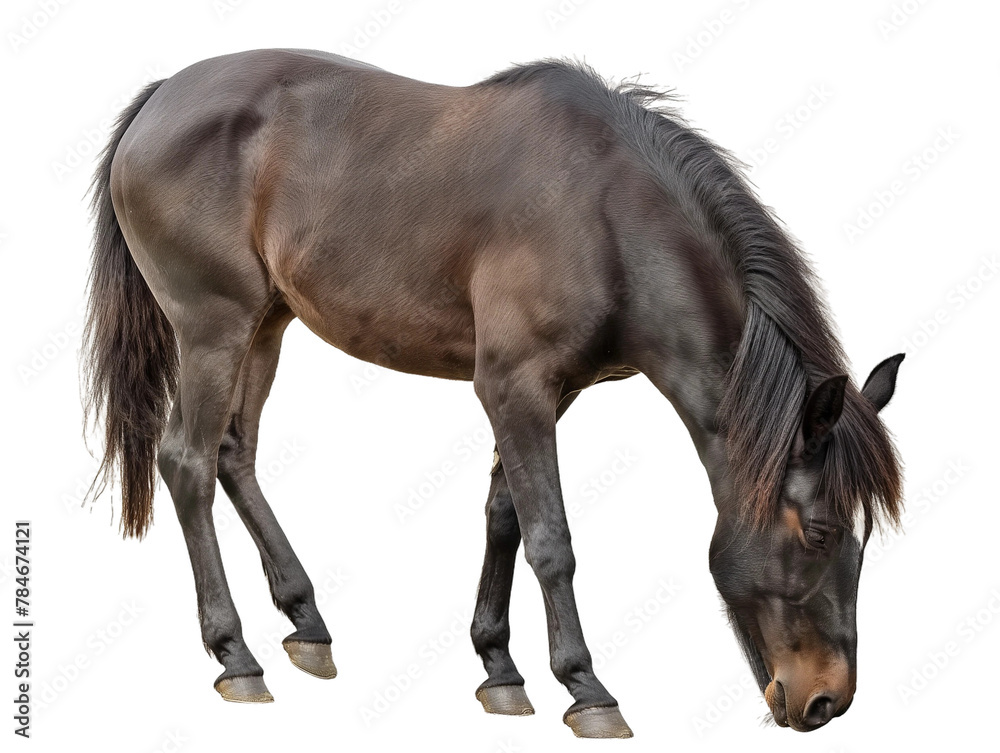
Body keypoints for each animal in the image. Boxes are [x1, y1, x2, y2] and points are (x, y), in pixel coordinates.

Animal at [82, 49, 904, 738]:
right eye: (821, 532)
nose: (827, 700)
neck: (608, 216)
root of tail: (162, 96)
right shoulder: (515, 385)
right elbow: (552, 539)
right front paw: (585, 686)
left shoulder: (547, 392)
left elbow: (505, 512)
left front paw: (500, 667)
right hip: (213, 328)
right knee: (188, 462)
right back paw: (235, 653)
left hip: (266, 323)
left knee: (234, 453)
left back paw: (306, 619)